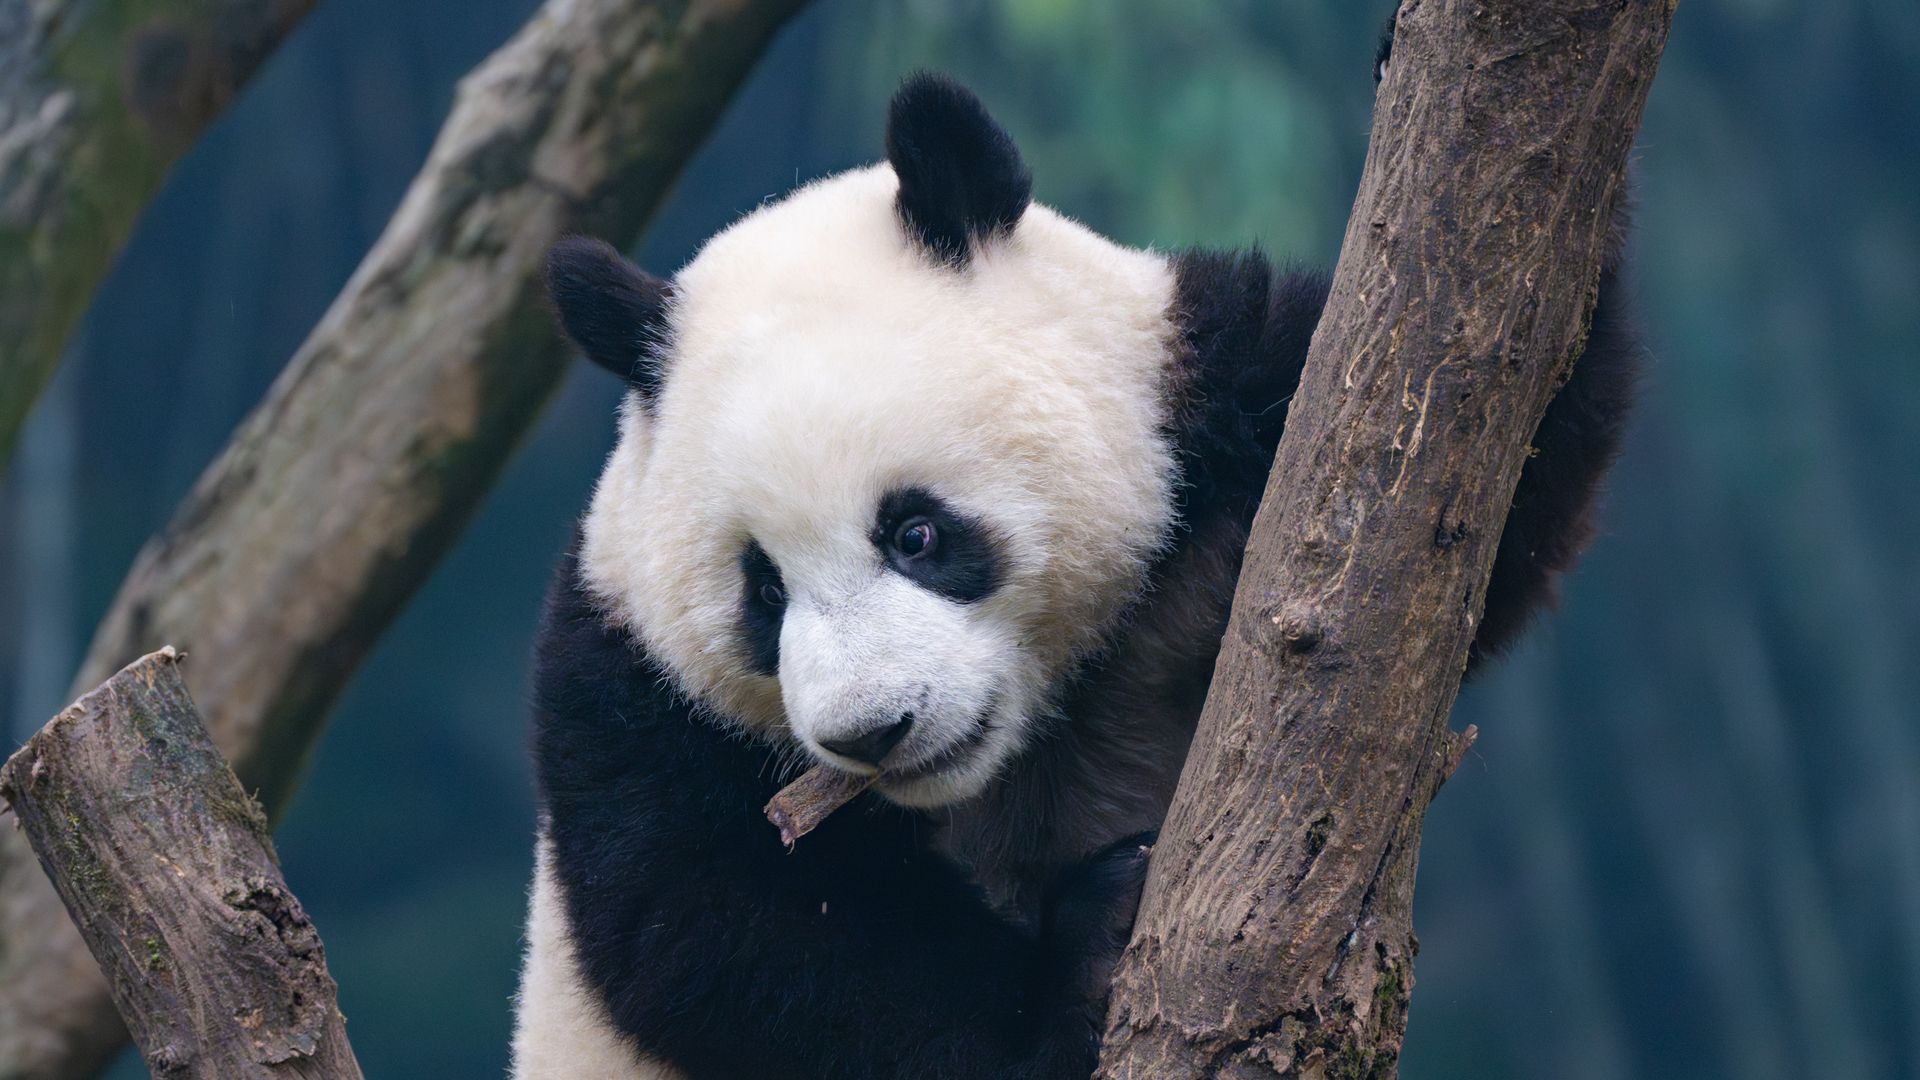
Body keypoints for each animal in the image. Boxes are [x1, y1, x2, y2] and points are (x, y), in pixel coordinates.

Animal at [510, 65, 1641, 1080]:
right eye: (764, 591)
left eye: (915, 534)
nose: (871, 731)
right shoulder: (628, 681)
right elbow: (721, 929)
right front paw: (1087, 957)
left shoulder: (1220, 413)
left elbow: (1501, 493)